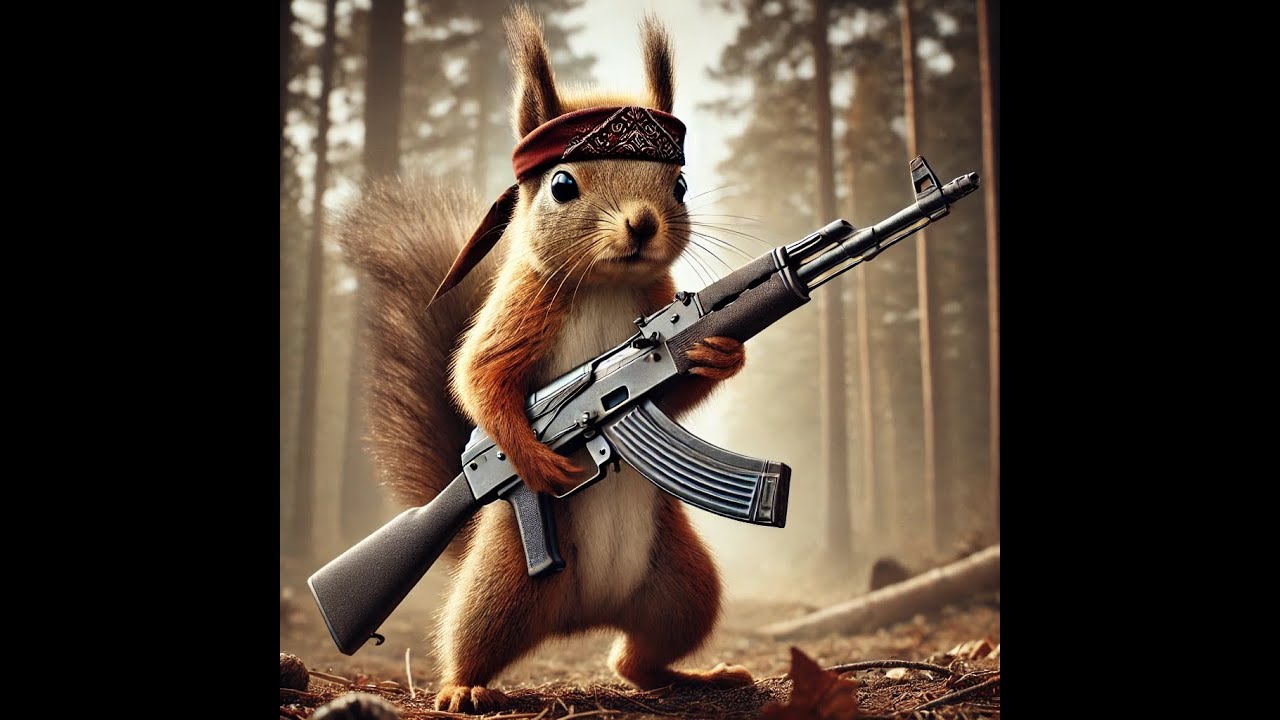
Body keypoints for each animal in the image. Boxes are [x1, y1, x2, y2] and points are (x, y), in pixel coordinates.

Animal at [337, 6, 753, 714]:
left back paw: (700, 675)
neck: (607, 283)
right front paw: (535, 456)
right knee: (473, 635)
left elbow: (676, 392)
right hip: (503, 583)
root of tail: (582, 617)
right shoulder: (521, 308)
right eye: (562, 184)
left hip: (684, 585)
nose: (643, 224)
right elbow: (478, 377)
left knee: (640, 659)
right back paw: (462, 689)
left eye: (679, 183)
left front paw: (721, 351)